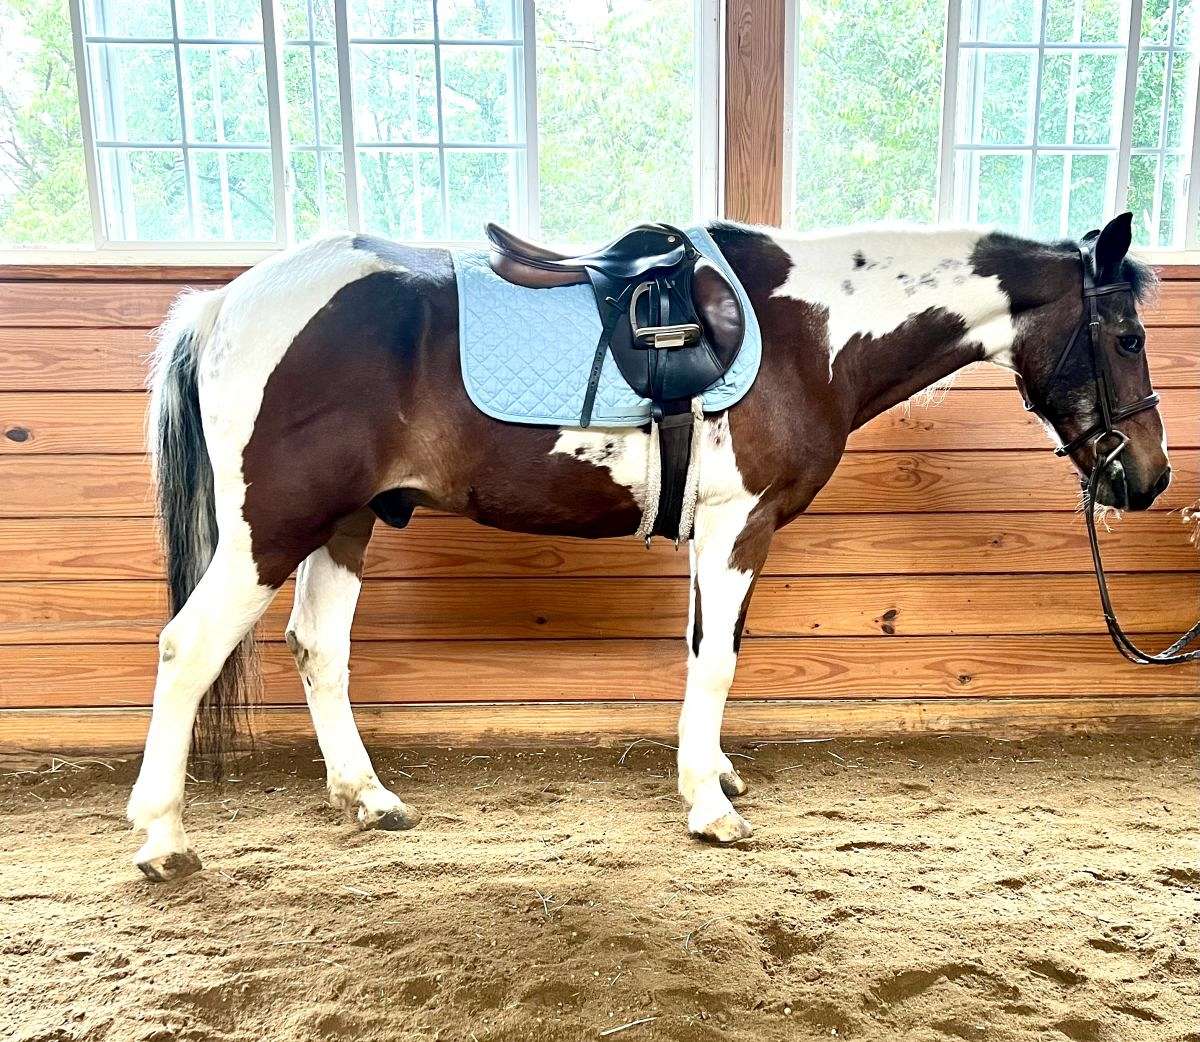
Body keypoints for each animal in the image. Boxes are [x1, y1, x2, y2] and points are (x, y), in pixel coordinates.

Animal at [126, 212, 1171, 881]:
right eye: (1124, 336)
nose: (1149, 479)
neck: (807, 328)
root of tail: (225, 306)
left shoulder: (726, 530)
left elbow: (711, 651)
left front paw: (711, 773)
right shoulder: (740, 522)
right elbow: (716, 663)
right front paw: (710, 808)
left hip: (344, 523)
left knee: (318, 650)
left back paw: (366, 797)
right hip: (270, 527)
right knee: (186, 648)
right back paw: (164, 838)